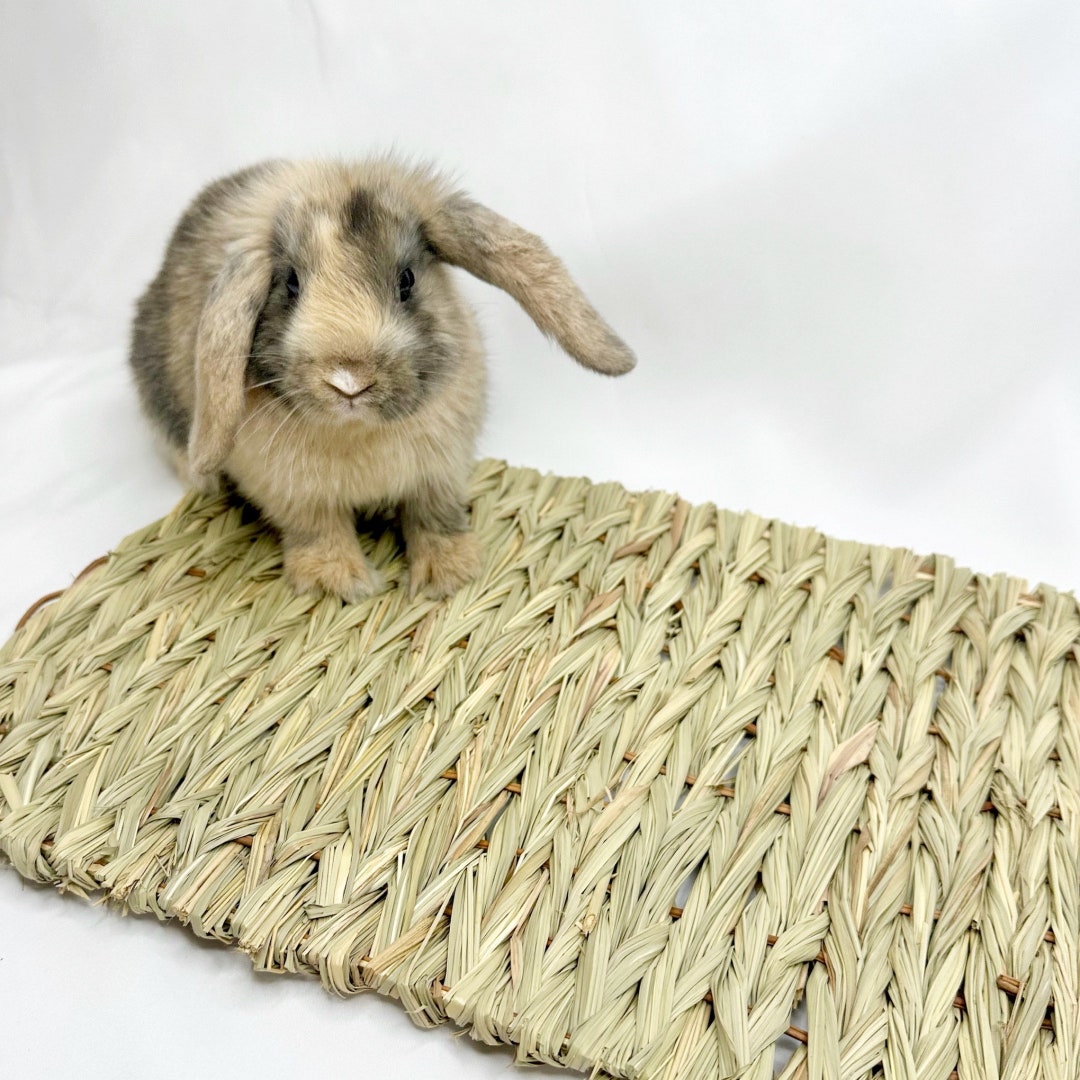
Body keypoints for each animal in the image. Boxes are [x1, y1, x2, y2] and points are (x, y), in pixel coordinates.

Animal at [129, 158, 635, 601]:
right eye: (290, 284)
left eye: (407, 280)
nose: (348, 380)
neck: (358, 431)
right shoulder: (292, 493)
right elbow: (318, 531)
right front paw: (339, 583)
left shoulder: (440, 473)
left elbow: (434, 518)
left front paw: (450, 575)